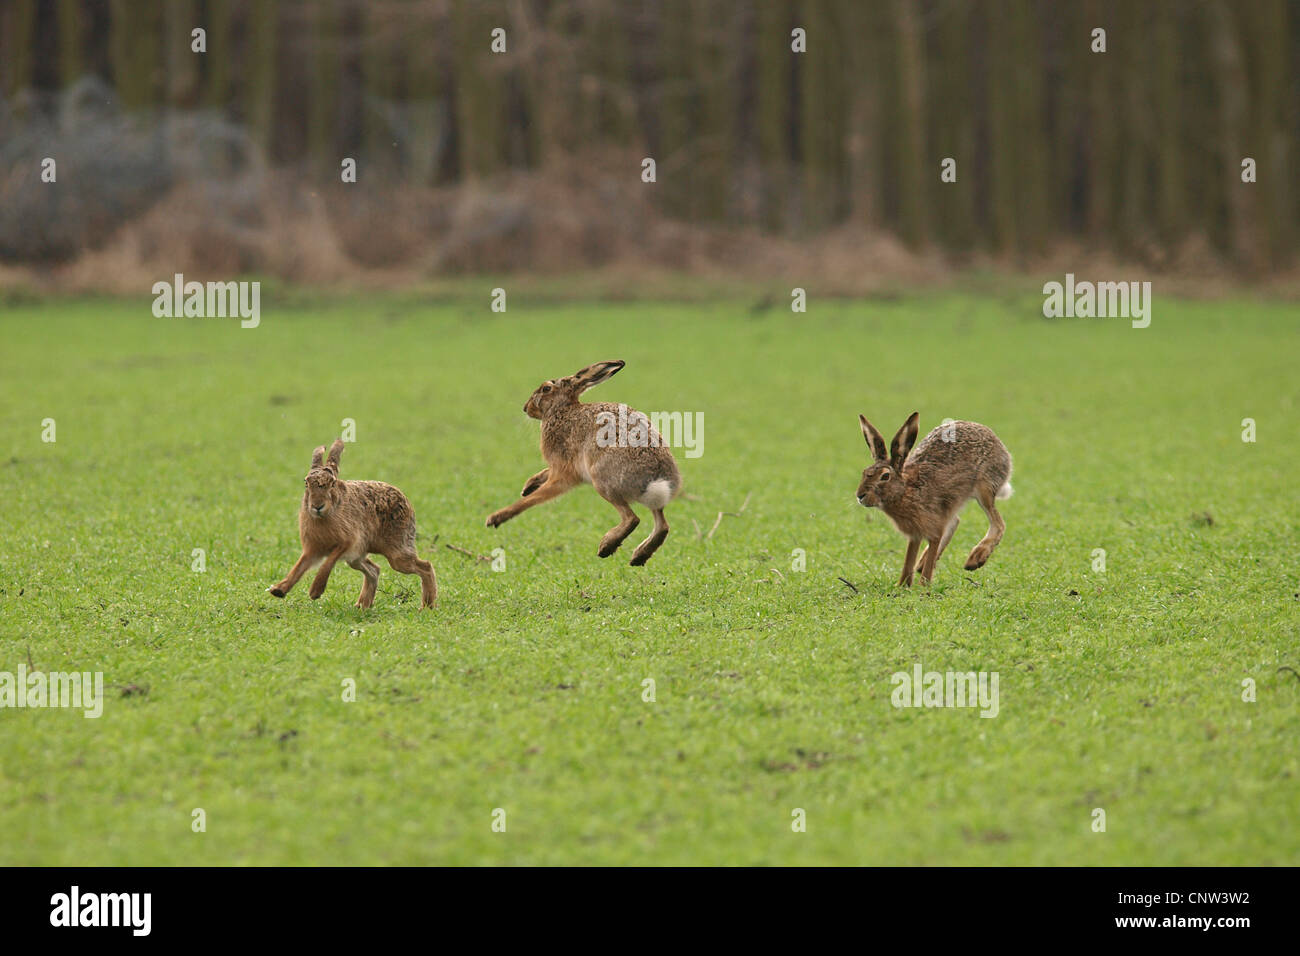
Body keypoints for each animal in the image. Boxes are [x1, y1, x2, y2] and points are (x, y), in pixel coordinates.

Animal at [268, 439, 437, 608]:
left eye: (332, 483)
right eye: (306, 483)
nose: (317, 506)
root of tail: (406, 502)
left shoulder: (347, 542)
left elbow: (327, 564)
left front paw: (315, 592)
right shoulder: (313, 548)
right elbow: (299, 567)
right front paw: (278, 590)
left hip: (396, 553)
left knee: (425, 566)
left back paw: (427, 606)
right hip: (357, 558)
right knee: (374, 570)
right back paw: (362, 606)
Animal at [485, 360, 682, 566]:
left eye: (546, 388)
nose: (526, 408)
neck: (562, 410)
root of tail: (656, 478)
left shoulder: (564, 471)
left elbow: (533, 499)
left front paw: (496, 518)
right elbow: (543, 474)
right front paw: (528, 486)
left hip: (602, 481)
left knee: (632, 518)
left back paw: (606, 546)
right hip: (648, 498)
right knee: (662, 525)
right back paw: (638, 556)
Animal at [856, 412, 1012, 587]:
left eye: (885, 476)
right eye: (865, 473)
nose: (860, 495)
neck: (905, 491)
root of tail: (996, 440)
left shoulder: (934, 526)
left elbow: (934, 545)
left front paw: (924, 585)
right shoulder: (915, 533)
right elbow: (909, 558)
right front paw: (902, 585)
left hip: (983, 488)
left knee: (998, 523)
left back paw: (975, 558)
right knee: (955, 521)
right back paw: (921, 563)